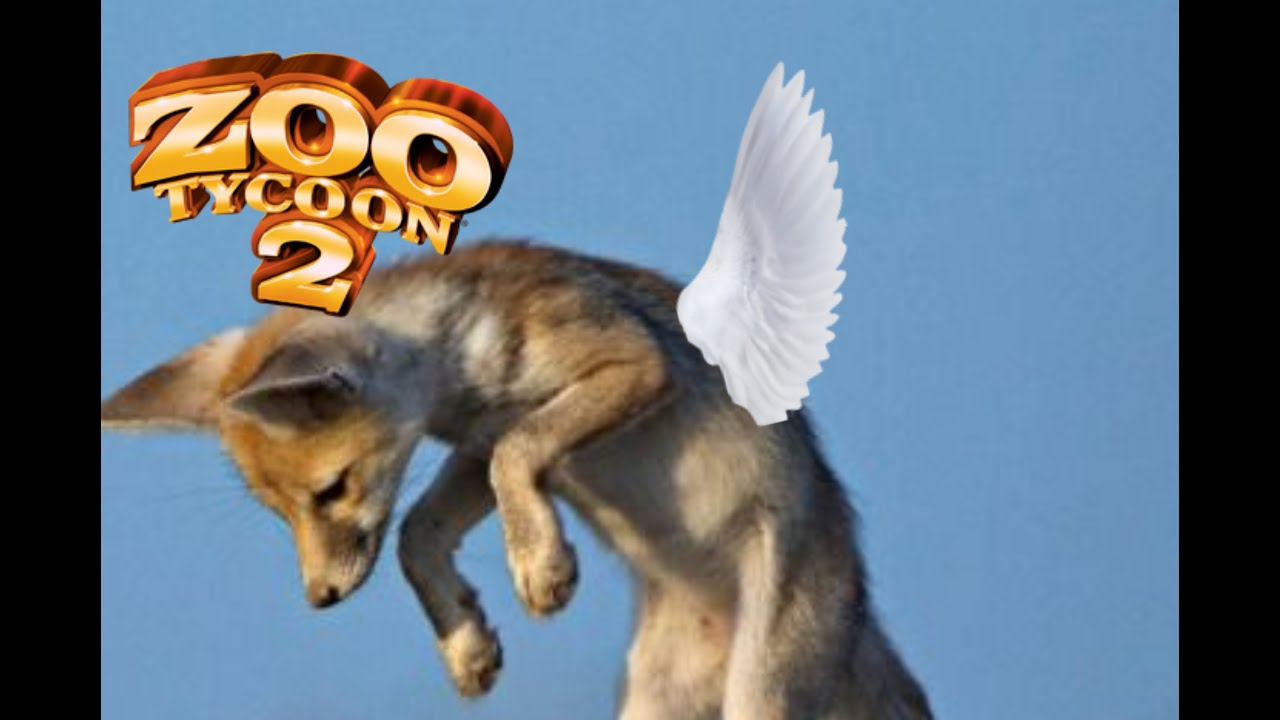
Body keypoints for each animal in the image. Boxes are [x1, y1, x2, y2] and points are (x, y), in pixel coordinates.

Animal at [101, 239, 932, 719]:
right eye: (282, 515)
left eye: (329, 491)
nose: (320, 599)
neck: (463, 363)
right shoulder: (475, 448)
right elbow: (417, 535)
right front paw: (466, 645)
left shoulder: (629, 367)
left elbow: (519, 454)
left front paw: (541, 567)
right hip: (650, 706)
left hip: (762, 695)